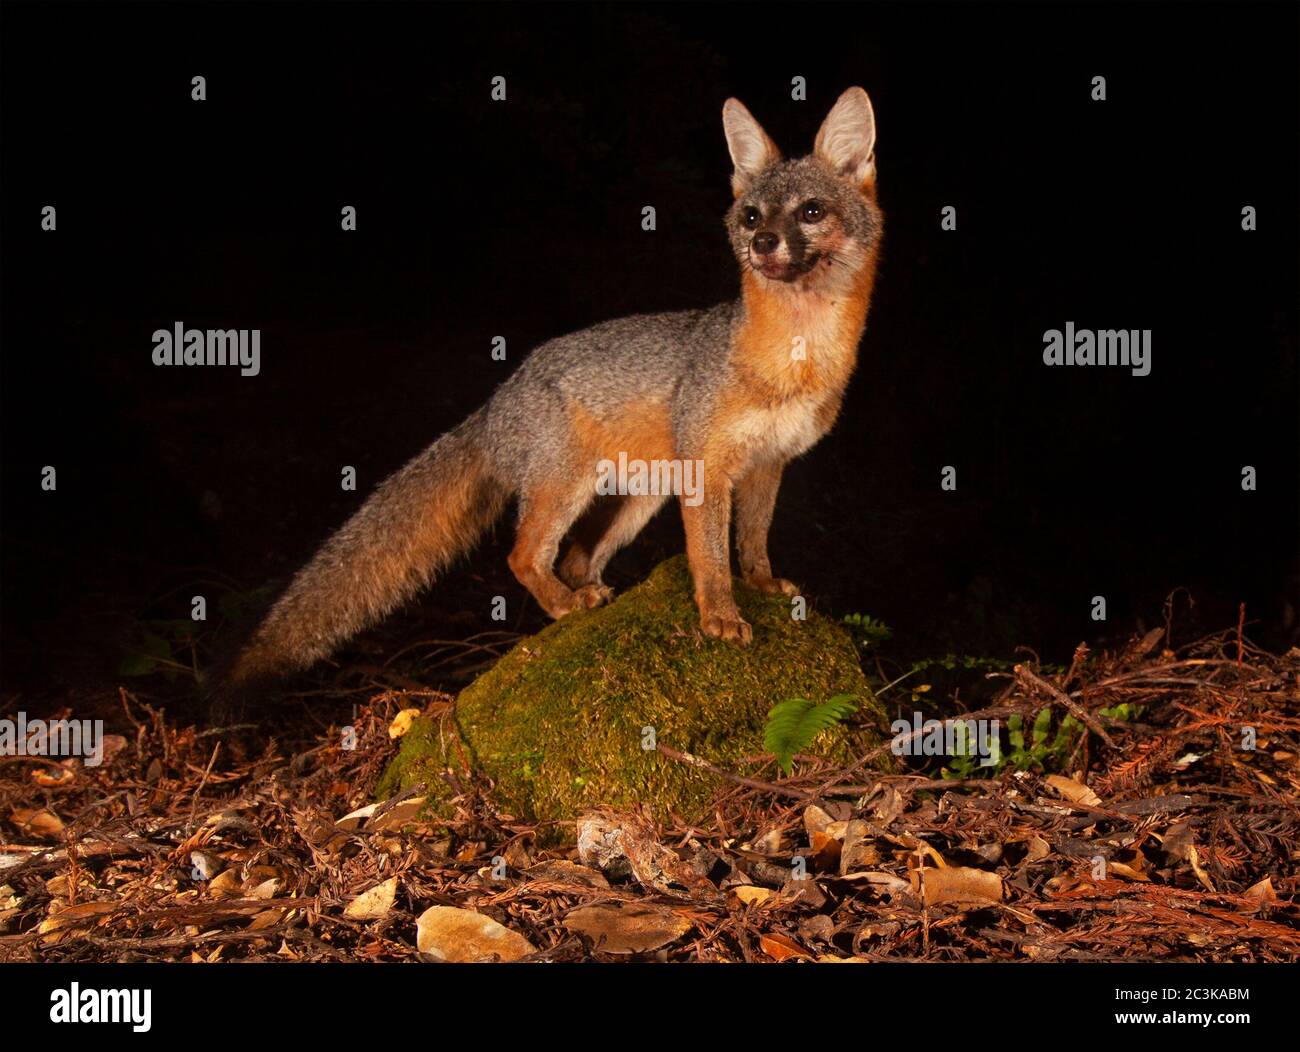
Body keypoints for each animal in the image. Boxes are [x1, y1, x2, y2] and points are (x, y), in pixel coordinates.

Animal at [222, 86, 883, 699]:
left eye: (811, 211)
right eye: (751, 217)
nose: (762, 243)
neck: (794, 359)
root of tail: (494, 401)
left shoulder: (768, 462)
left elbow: (753, 540)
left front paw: (763, 585)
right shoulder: (708, 468)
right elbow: (710, 558)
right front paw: (720, 615)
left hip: (635, 502)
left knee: (571, 559)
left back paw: (586, 597)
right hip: (569, 488)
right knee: (524, 556)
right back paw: (565, 606)